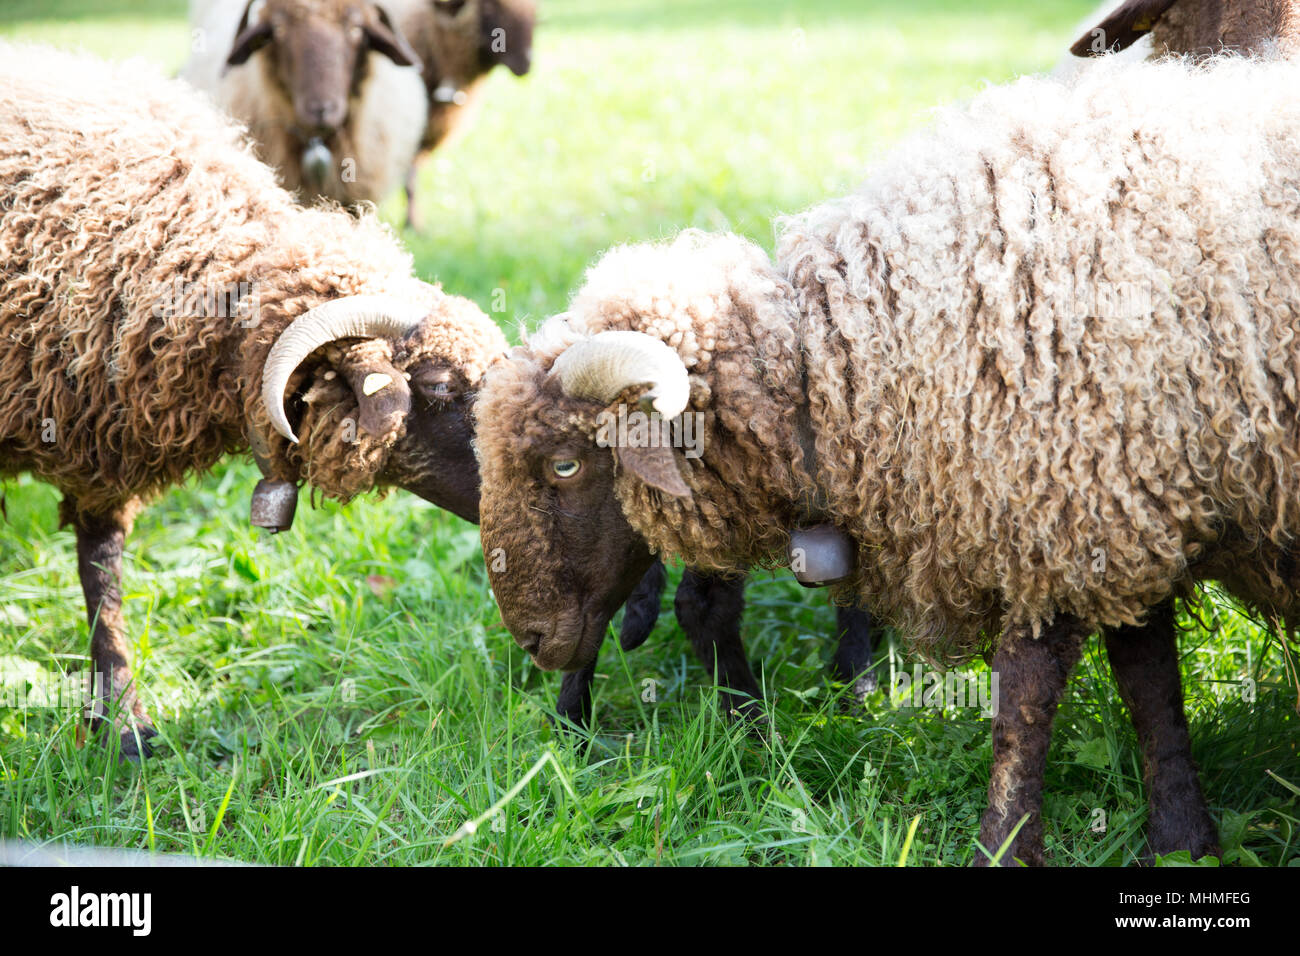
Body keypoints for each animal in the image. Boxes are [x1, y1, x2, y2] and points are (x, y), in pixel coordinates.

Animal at [473, 55, 1300, 864]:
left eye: (564, 465)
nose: (534, 644)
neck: (846, 365)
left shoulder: (1060, 500)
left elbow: (1029, 696)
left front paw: (1004, 846)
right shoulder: (1119, 502)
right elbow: (1149, 680)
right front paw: (1185, 841)